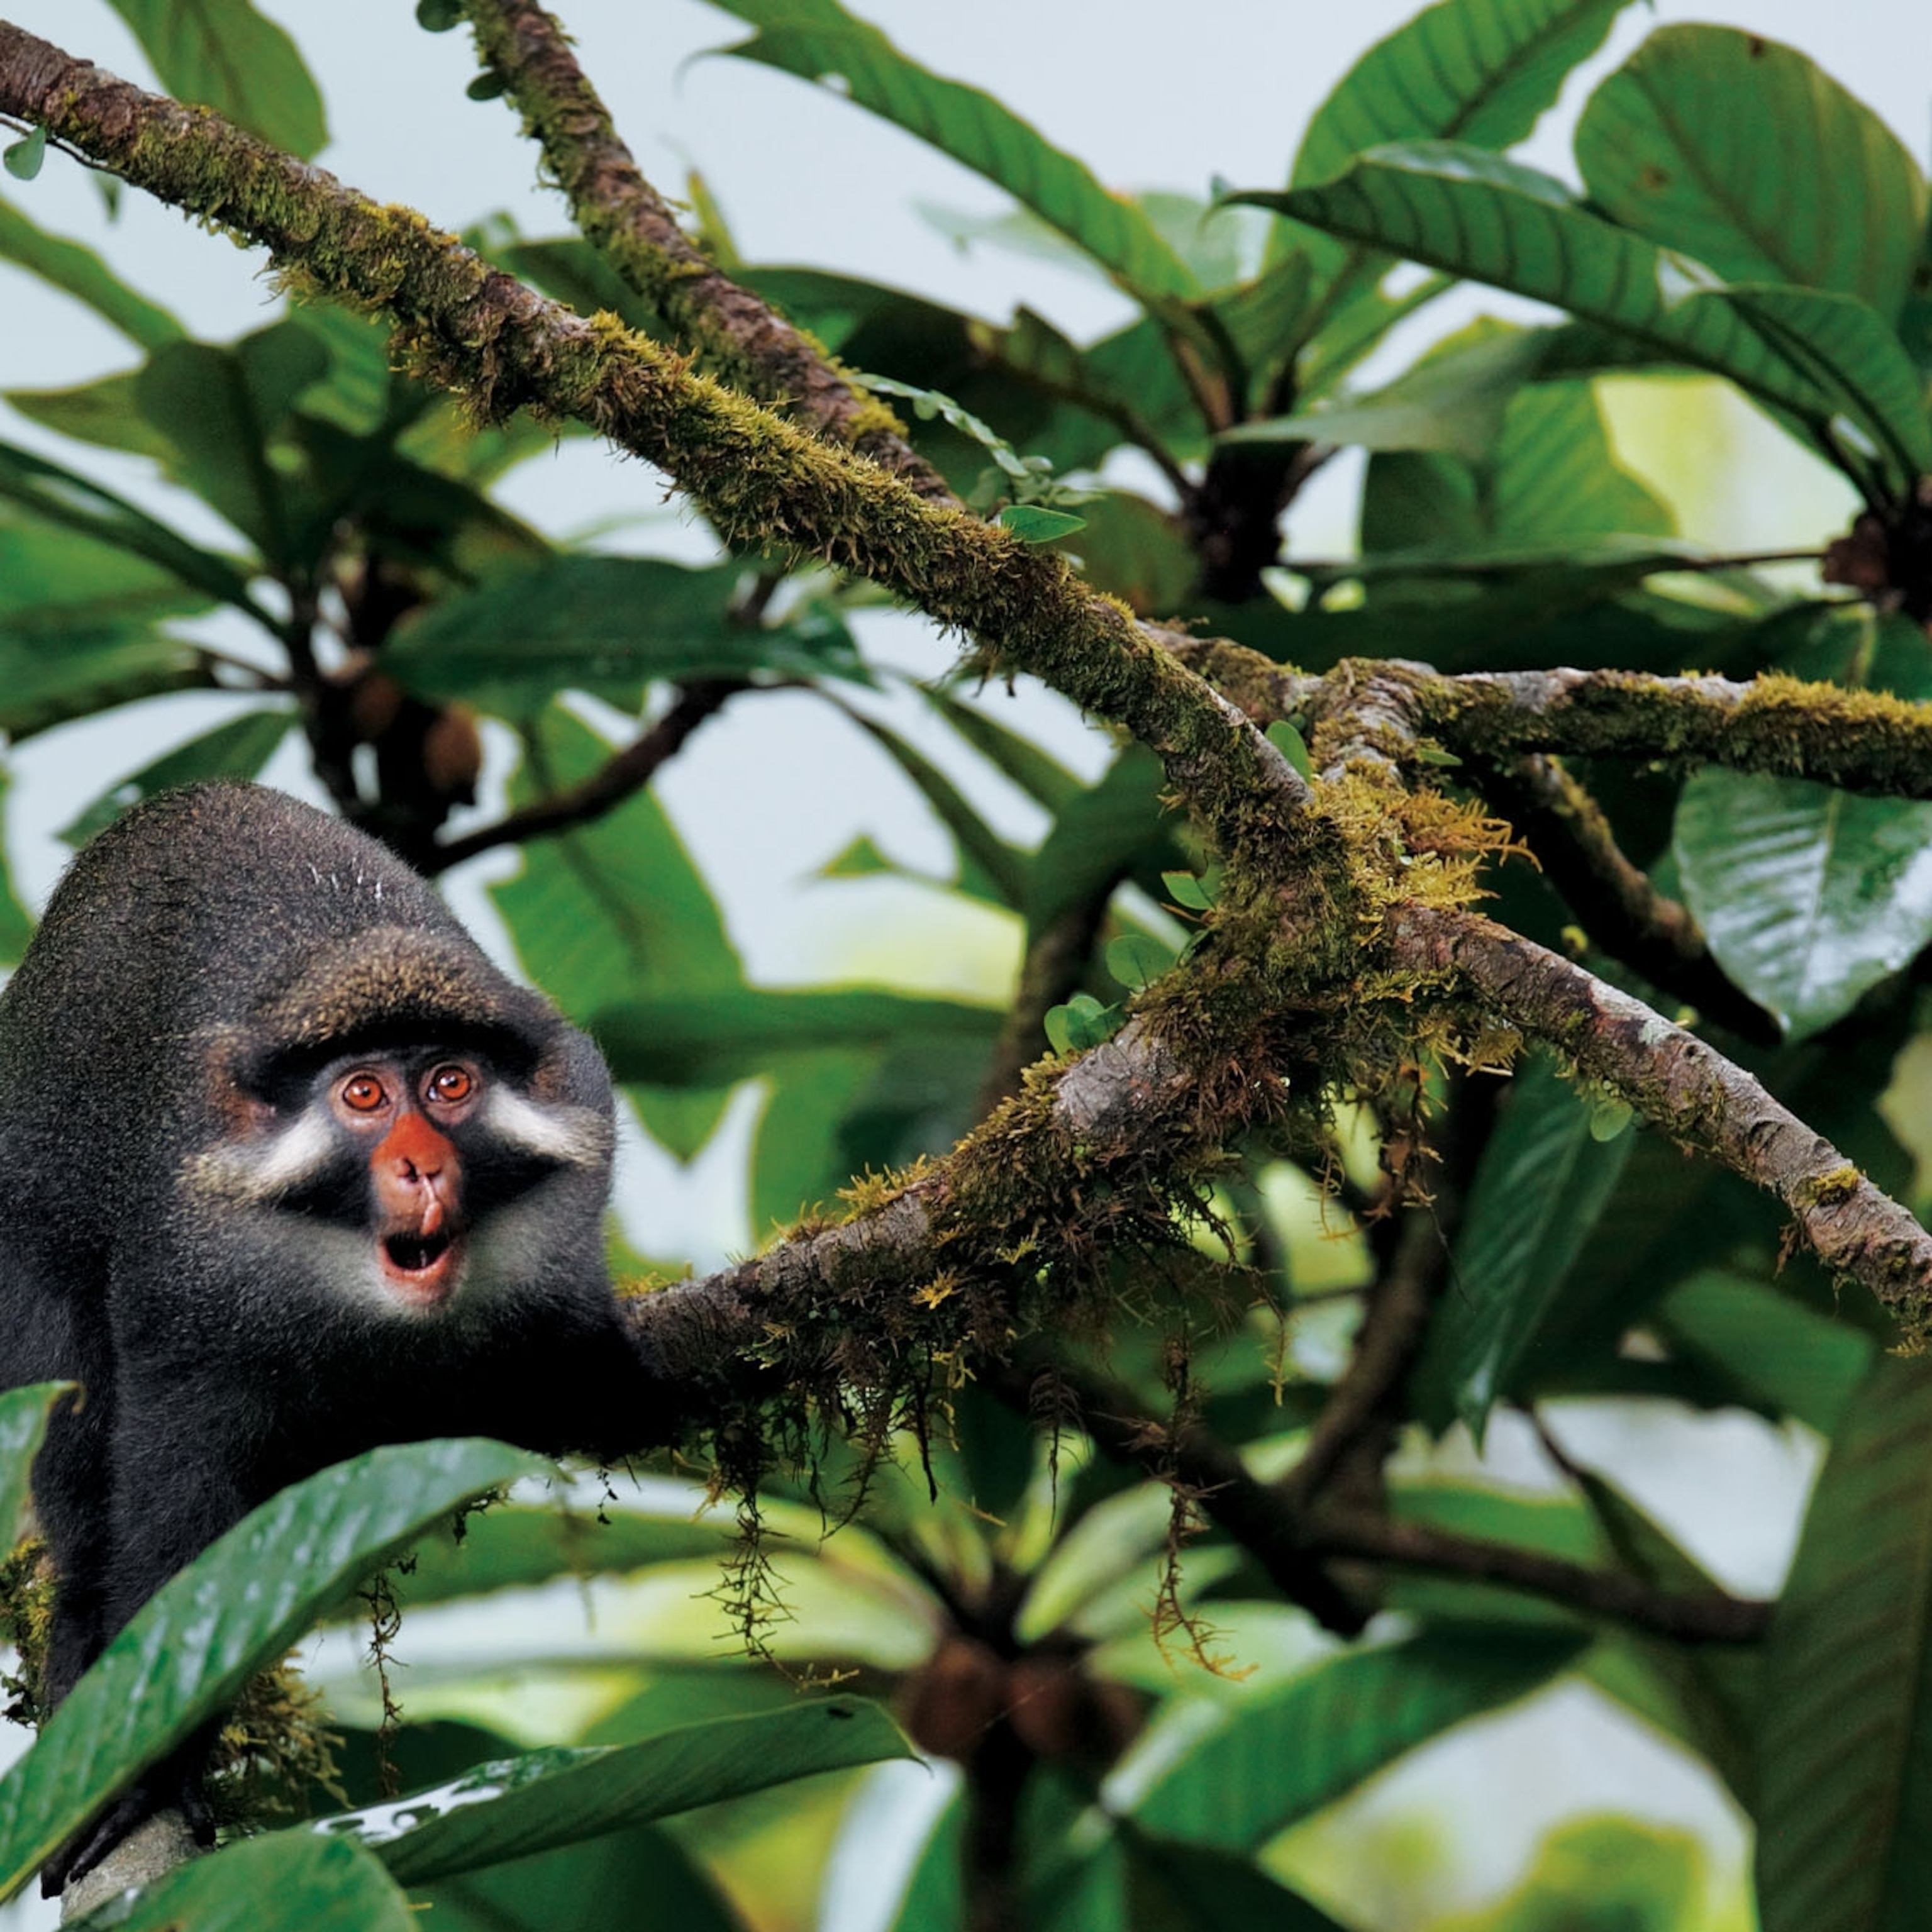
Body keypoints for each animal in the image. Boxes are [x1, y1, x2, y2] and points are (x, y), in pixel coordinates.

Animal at [0, 783, 675, 1893]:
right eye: (365, 1096)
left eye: (449, 1086)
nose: (420, 1167)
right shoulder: (192, 1280)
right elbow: (176, 1532)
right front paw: (140, 1773)